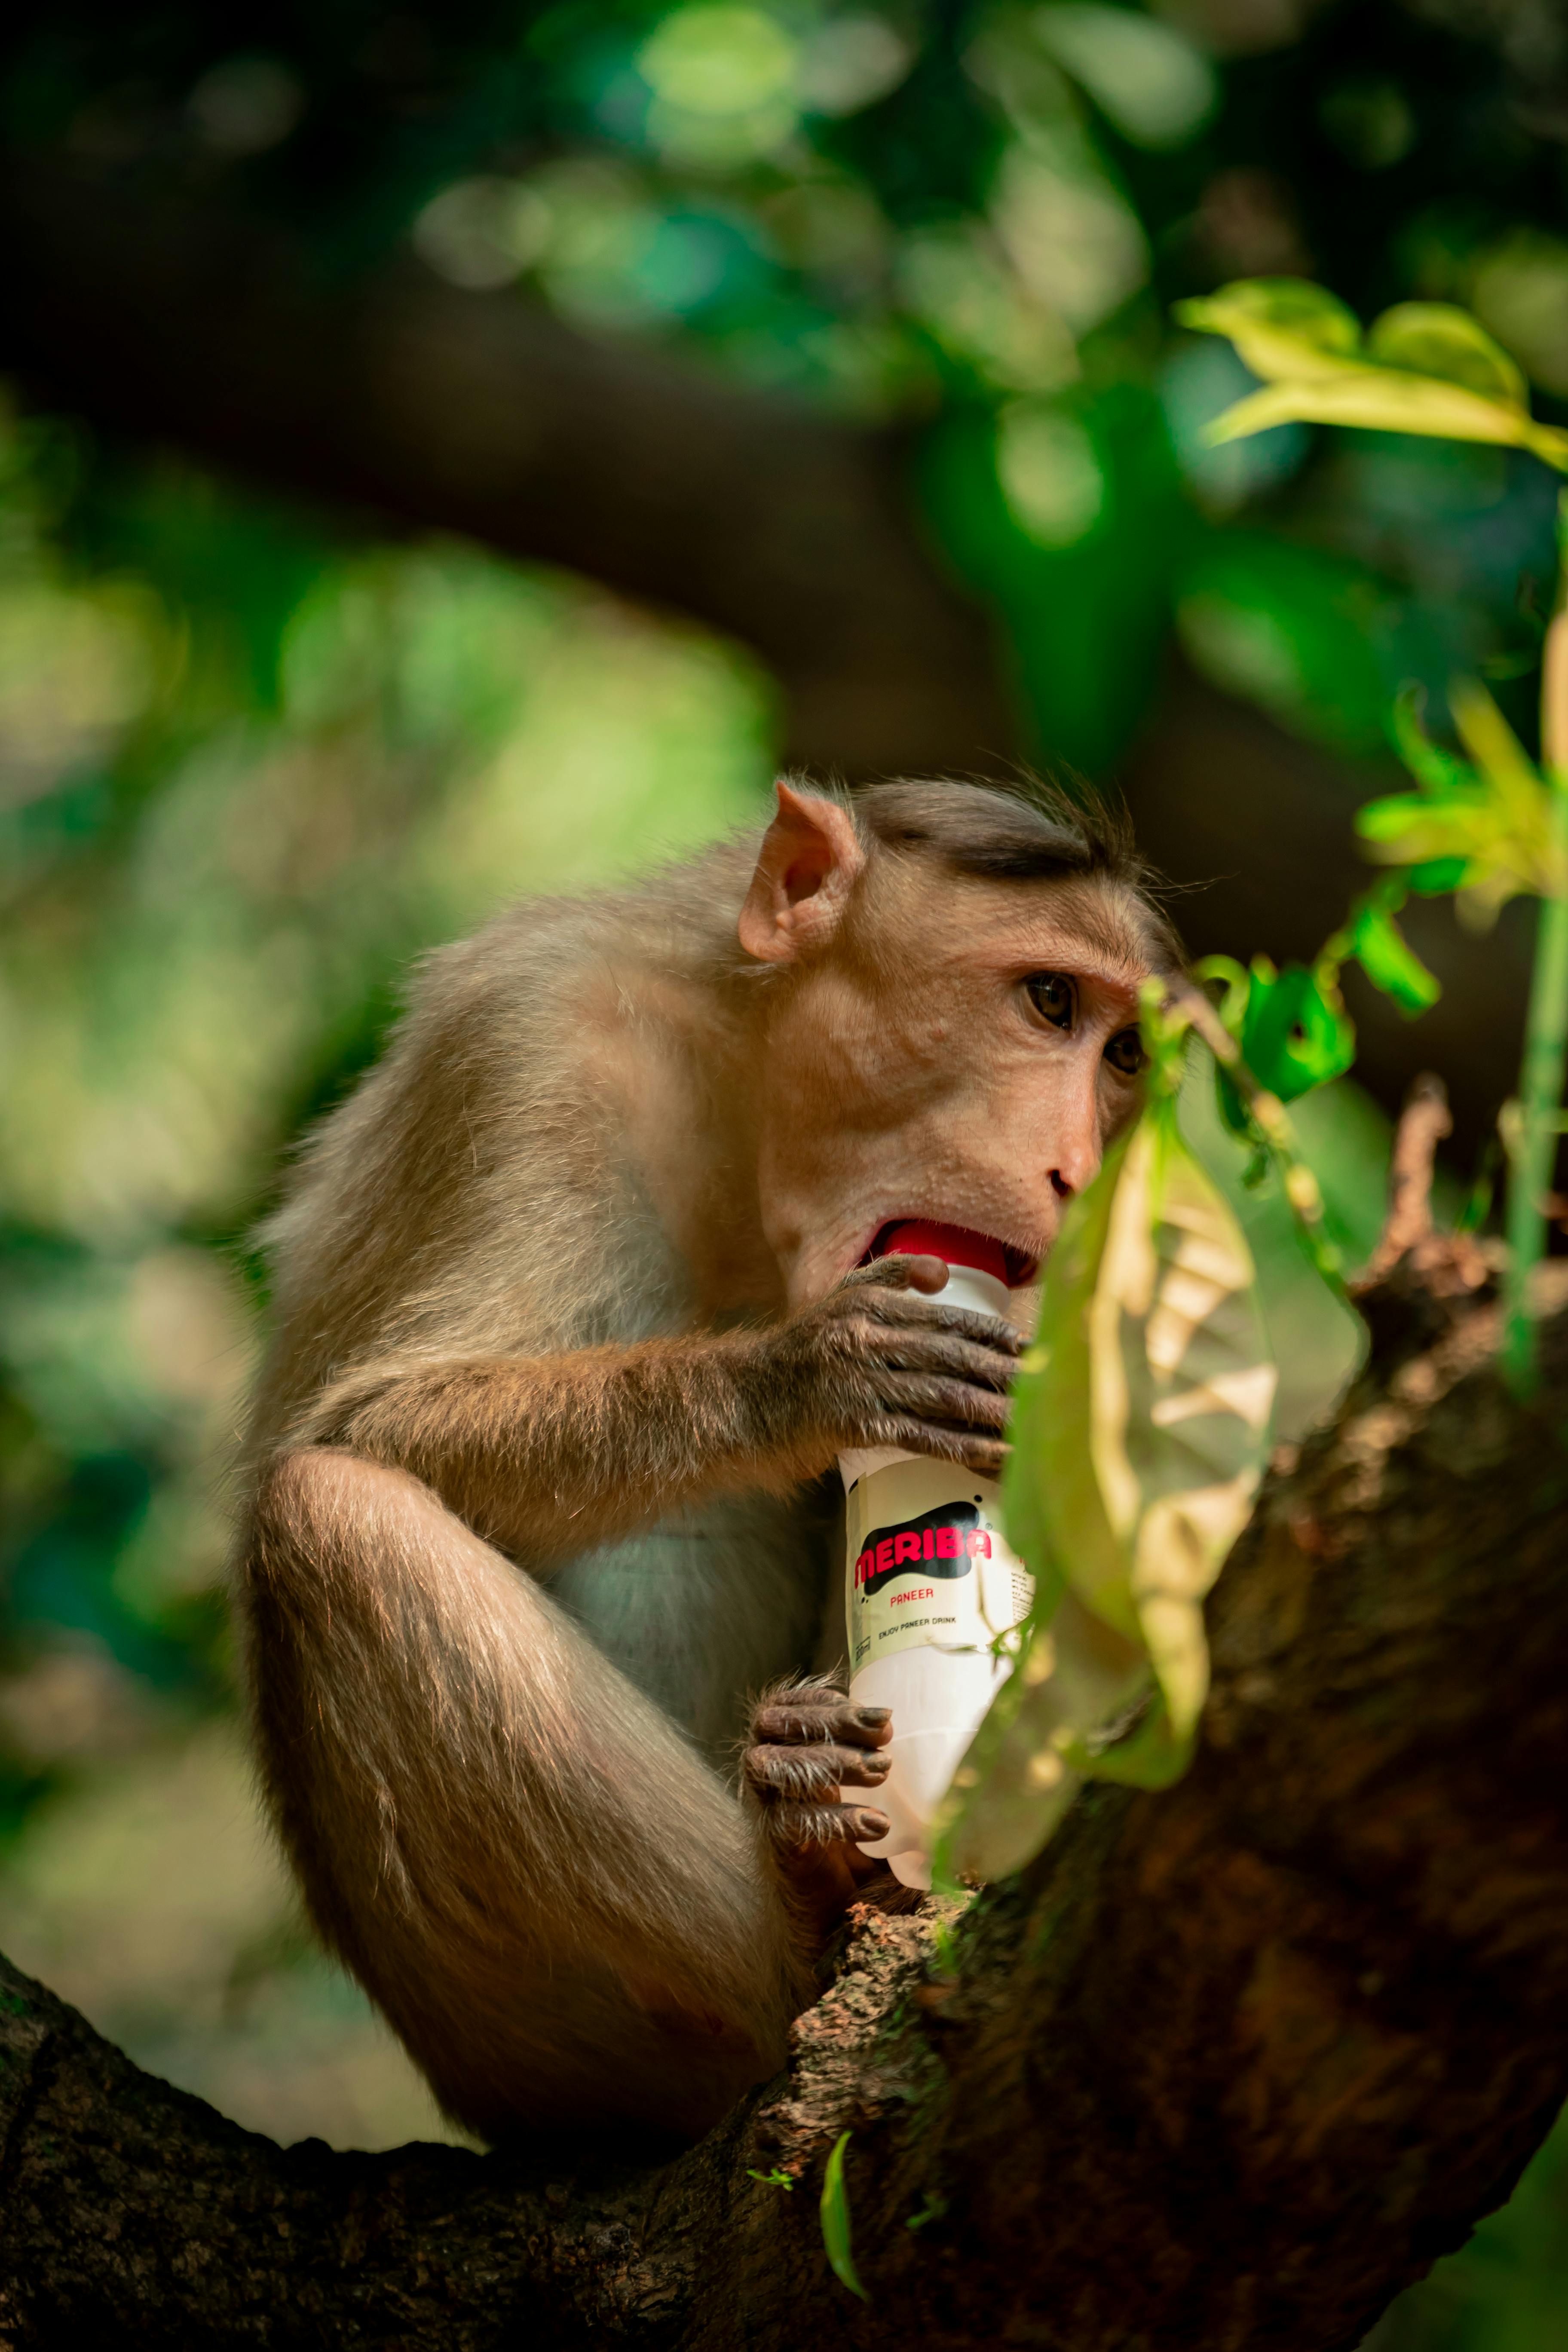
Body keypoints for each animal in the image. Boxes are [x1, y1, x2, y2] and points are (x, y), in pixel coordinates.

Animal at [235, 775, 1179, 2148]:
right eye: (1049, 1001)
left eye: (1123, 1058)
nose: (1074, 1175)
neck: (742, 1127)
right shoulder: (526, 1048)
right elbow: (356, 1425)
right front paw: (817, 1376)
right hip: (553, 2045)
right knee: (328, 1518)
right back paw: (801, 1897)